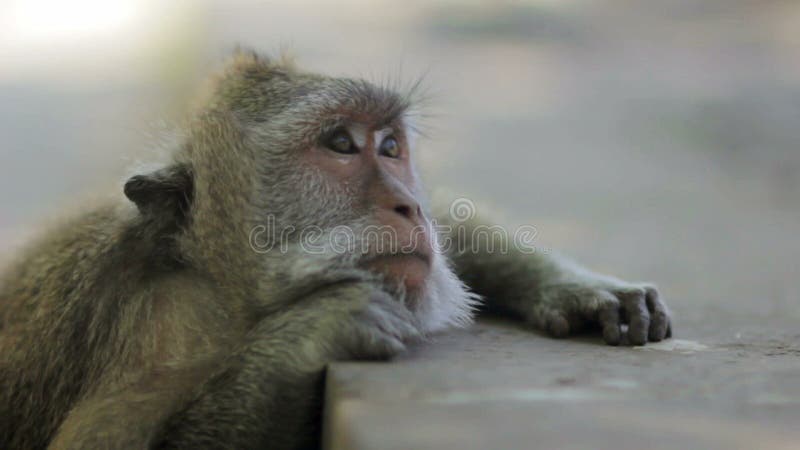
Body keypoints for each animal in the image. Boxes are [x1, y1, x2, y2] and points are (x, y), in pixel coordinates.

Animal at [0, 51, 671, 450]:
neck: (220, 290)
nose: (408, 206)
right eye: (342, 143)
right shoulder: (155, 327)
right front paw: (302, 344)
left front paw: (578, 287)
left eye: (392, 147)